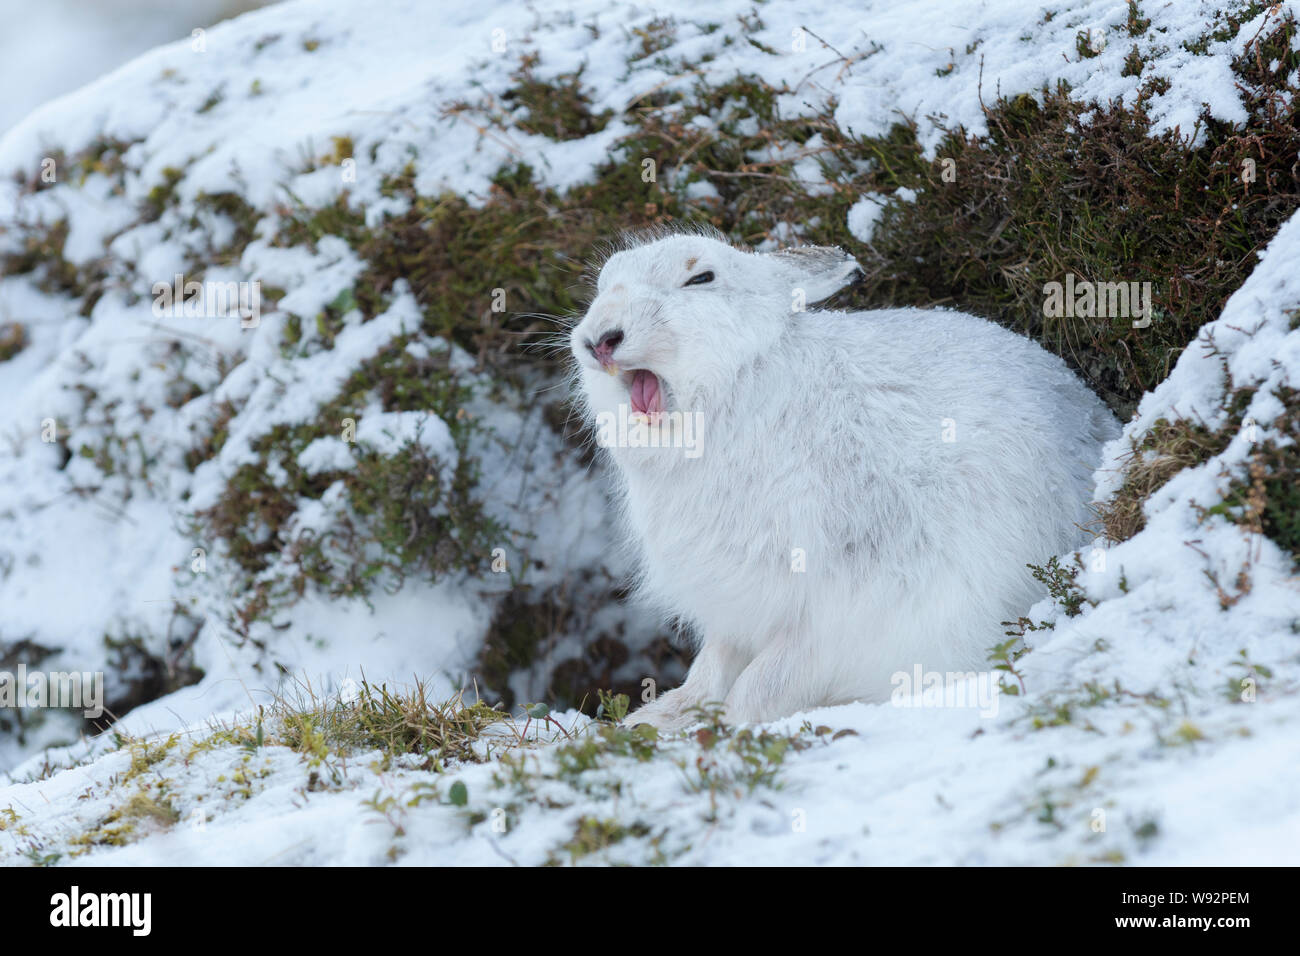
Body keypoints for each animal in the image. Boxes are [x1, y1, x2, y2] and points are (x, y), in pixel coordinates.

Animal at [568, 225, 1120, 731]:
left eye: (701, 278)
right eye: (604, 281)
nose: (600, 340)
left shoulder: (843, 607)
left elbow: (763, 682)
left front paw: (723, 728)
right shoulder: (735, 610)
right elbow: (712, 668)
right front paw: (657, 719)